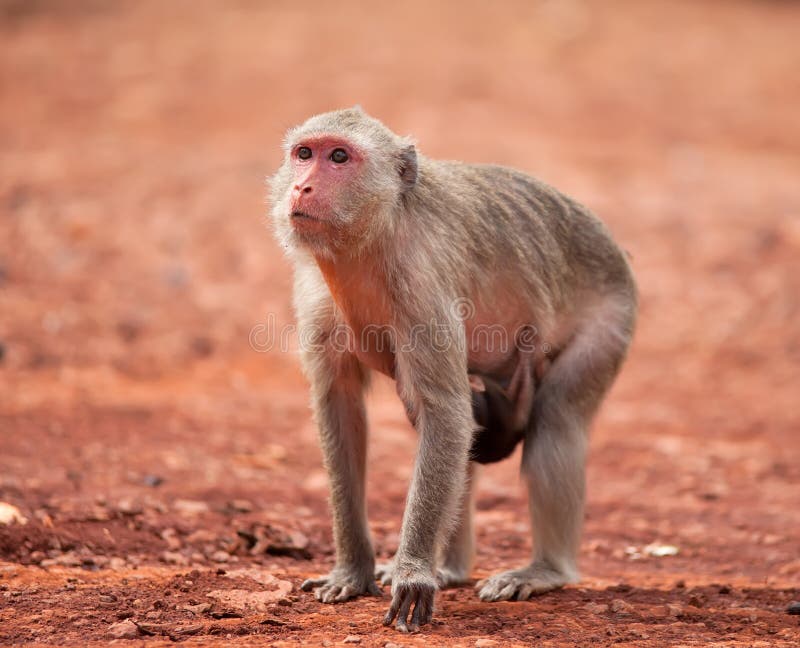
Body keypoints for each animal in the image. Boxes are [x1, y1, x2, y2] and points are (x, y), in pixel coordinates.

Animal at [269, 107, 637, 633]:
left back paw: (546, 570)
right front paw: (352, 571)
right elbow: (341, 409)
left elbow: (445, 417)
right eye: (304, 154)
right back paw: (451, 567)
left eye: (338, 157)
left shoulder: (421, 289)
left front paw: (414, 574)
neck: (373, 238)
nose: (302, 187)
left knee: (554, 423)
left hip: (610, 318)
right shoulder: (317, 292)